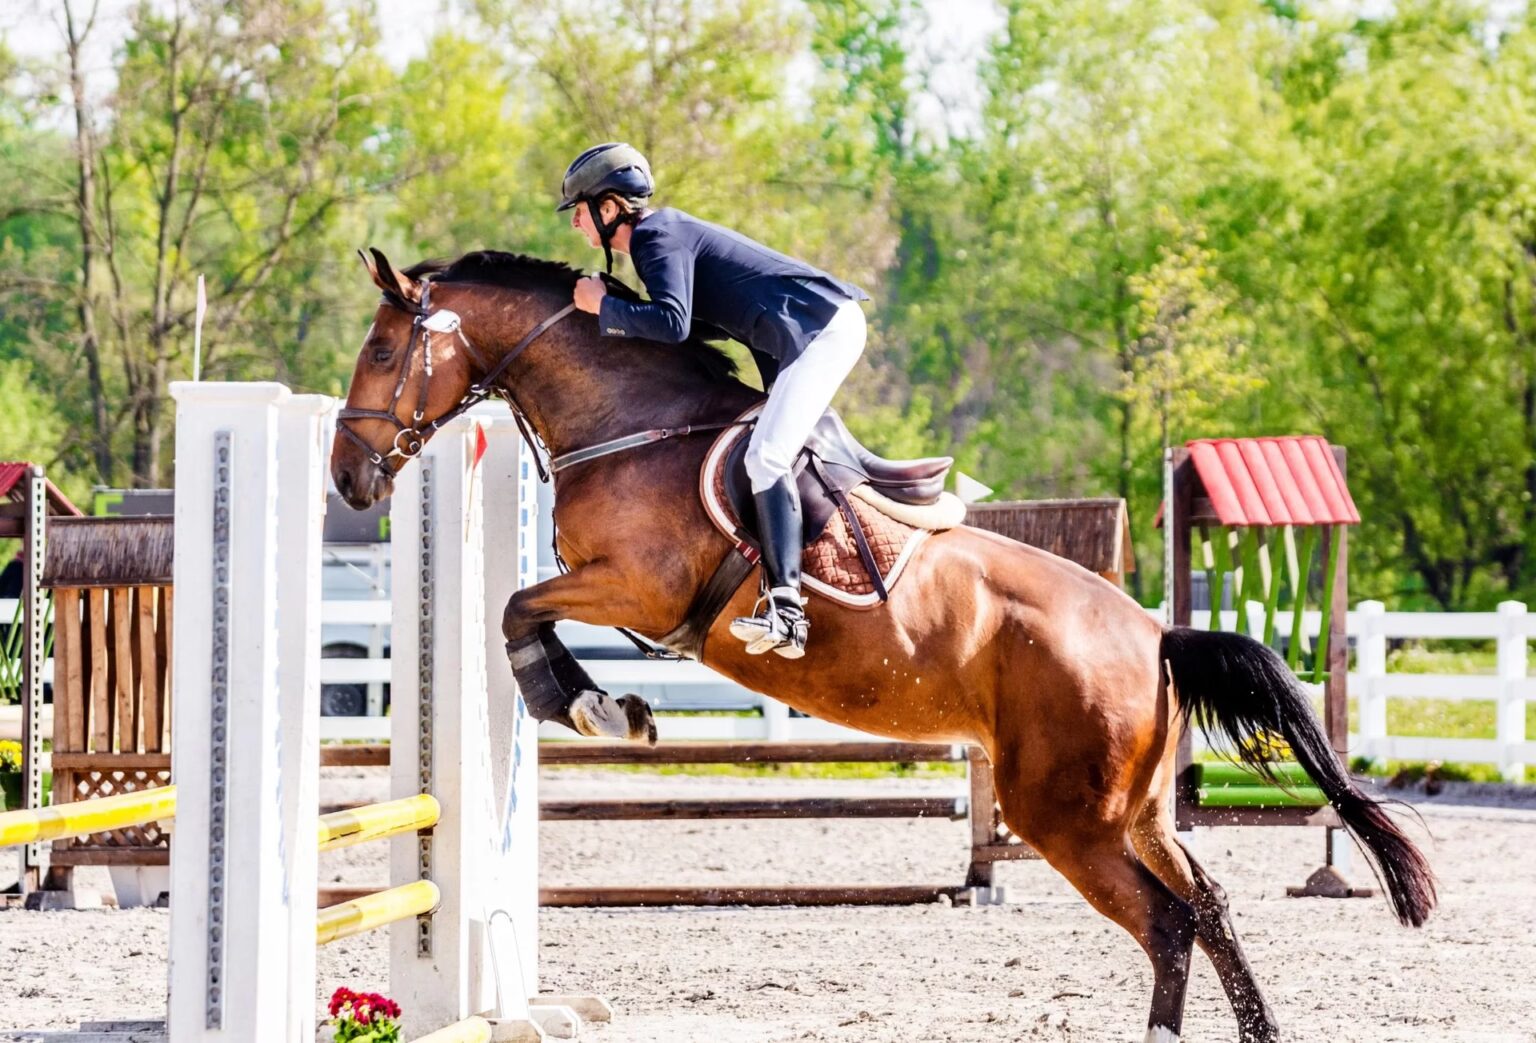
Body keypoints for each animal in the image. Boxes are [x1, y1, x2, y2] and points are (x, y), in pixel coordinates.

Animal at [330, 247, 1436, 1043]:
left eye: (381, 353)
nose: (347, 478)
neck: (631, 422)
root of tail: (1156, 630)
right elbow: (525, 607)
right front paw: (602, 701)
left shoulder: (637, 583)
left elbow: (521, 608)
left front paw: (594, 704)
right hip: (1134, 809)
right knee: (1205, 903)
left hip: (1065, 815)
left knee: (1168, 920)